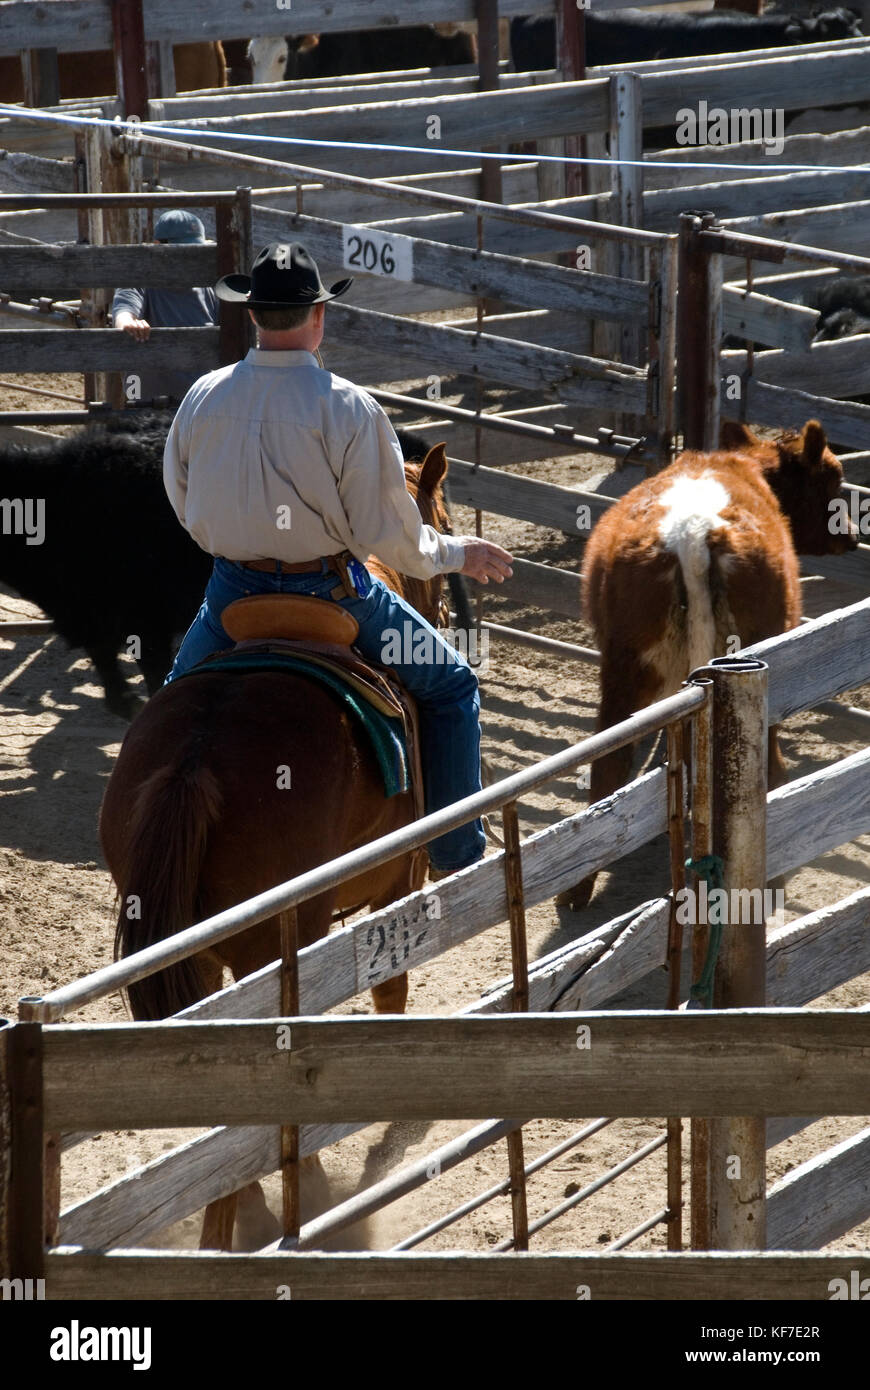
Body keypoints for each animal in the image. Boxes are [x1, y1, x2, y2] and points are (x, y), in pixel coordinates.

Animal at [557, 419, 858, 910]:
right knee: (770, 765)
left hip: (622, 667)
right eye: (832, 479)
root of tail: (693, 534)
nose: (849, 536)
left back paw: (577, 889)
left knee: (609, 765)